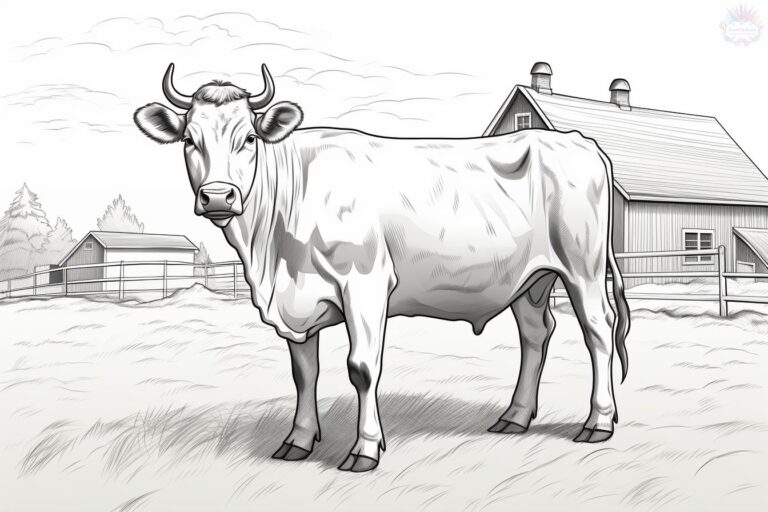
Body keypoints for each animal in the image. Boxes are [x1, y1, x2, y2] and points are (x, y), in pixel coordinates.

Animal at [134, 63, 630, 473]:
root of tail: (575, 139)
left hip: (582, 268)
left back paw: (598, 422)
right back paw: (515, 417)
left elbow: (362, 368)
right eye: (189, 140)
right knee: (535, 335)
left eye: (249, 139)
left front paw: (365, 449)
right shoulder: (297, 303)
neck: (272, 252)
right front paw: (298, 441)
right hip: (531, 279)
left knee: (598, 331)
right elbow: (304, 374)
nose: (218, 196)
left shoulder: (365, 285)